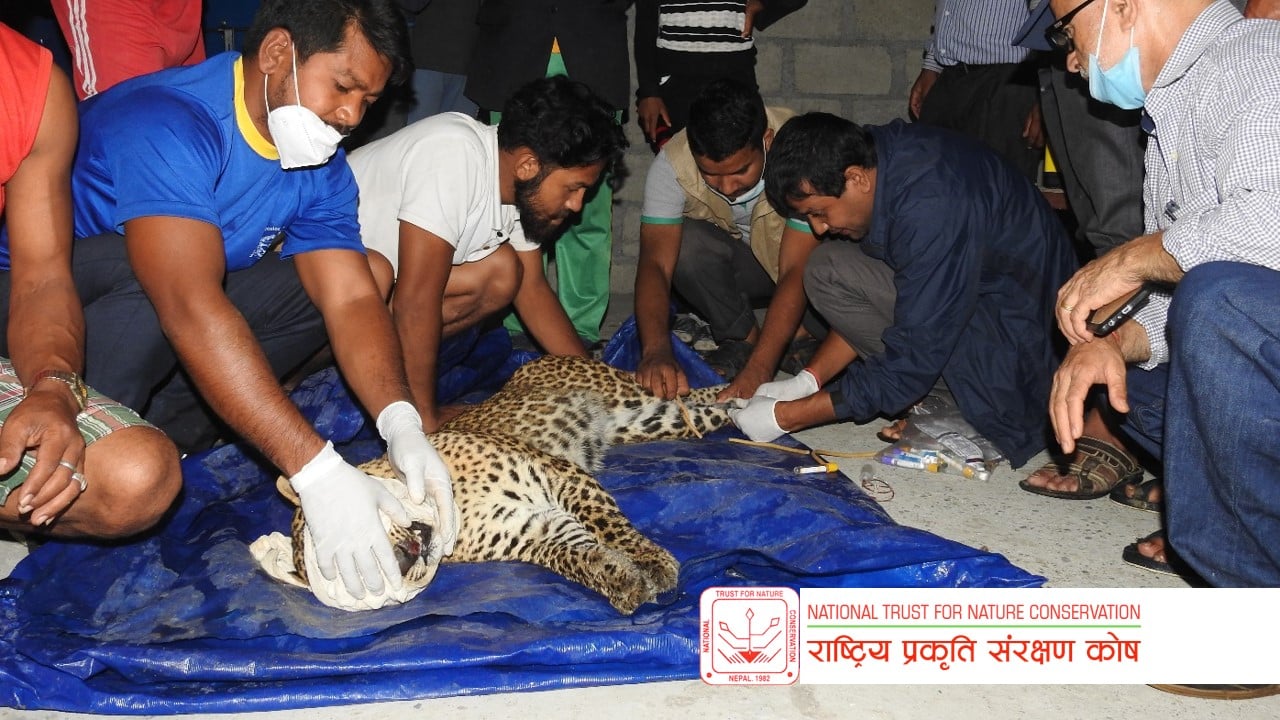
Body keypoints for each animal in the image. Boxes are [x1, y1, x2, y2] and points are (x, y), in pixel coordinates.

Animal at [256, 355, 732, 615]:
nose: (403, 560)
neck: (456, 507)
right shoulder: (537, 529)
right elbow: (579, 557)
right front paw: (622, 581)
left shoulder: (560, 475)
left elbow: (612, 527)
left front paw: (654, 562)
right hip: (645, 422)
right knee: (700, 412)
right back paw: (744, 407)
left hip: (623, 391)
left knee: (691, 394)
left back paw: (746, 393)